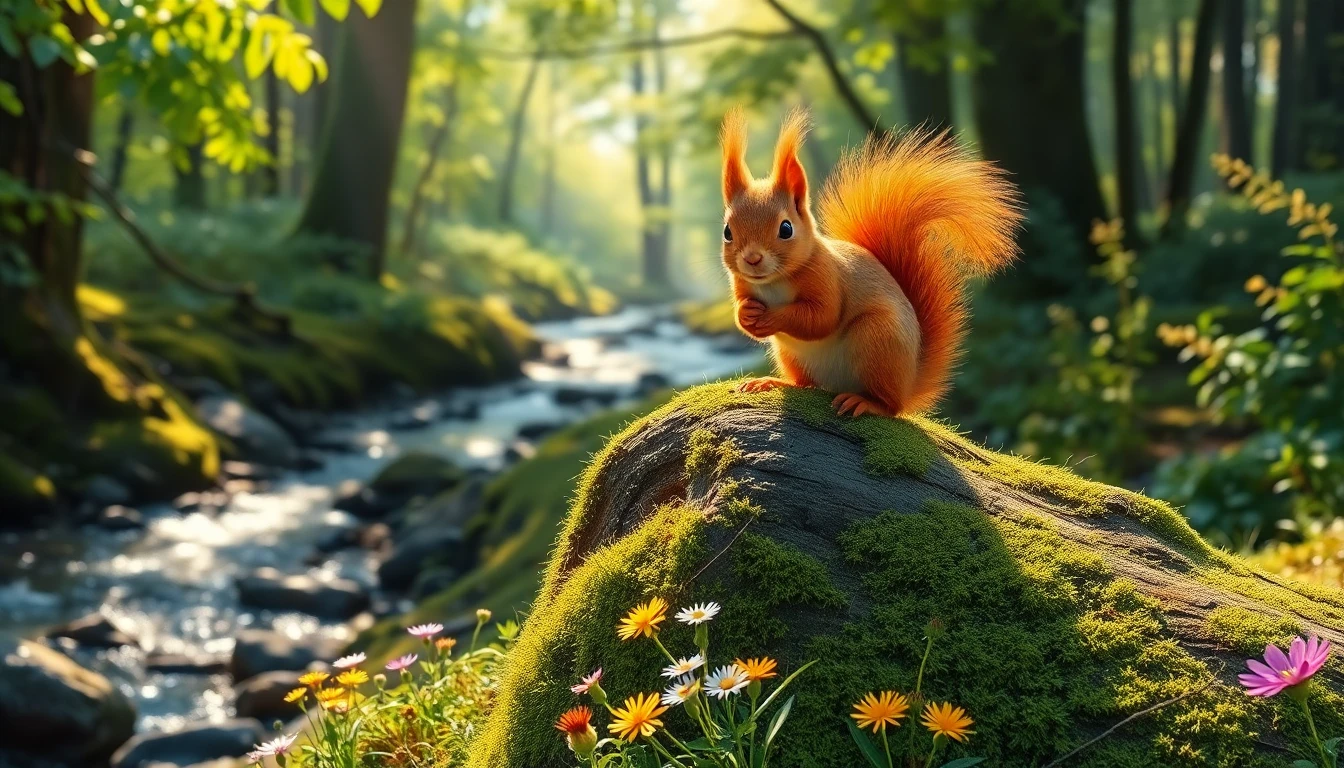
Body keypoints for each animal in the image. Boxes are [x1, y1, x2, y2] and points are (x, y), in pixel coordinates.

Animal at [719, 107, 1024, 418]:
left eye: (786, 229)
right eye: (728, 231)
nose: (752, 259)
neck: (773, 283)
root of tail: (908, 382)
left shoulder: (826, 277)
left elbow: (821, 318)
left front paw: (771, 318)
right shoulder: (741, 284)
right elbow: (746, 311)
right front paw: (746, 313)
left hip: (877, 337)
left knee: (890, 405)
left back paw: (866, 402)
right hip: (792, 356)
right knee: (805, 384)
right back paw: (773, 382)